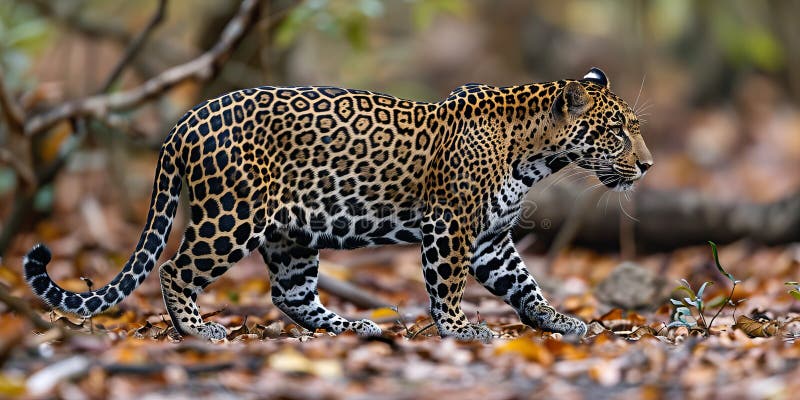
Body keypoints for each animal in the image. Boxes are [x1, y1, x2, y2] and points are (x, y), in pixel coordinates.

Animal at [24, 67, 653, 341]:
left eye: (633, 129)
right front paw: (461, 330)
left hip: (291, 235)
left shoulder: (492, 240)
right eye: (616, 133)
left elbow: (526, 284)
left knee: (290, 294)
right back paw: (198, 331)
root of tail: (183, 123)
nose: (646, 166)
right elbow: (446, 287)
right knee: (175, 269)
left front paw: (559, 320)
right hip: (231, 218)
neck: (535, 154)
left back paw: (356, 325)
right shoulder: (450, 228)